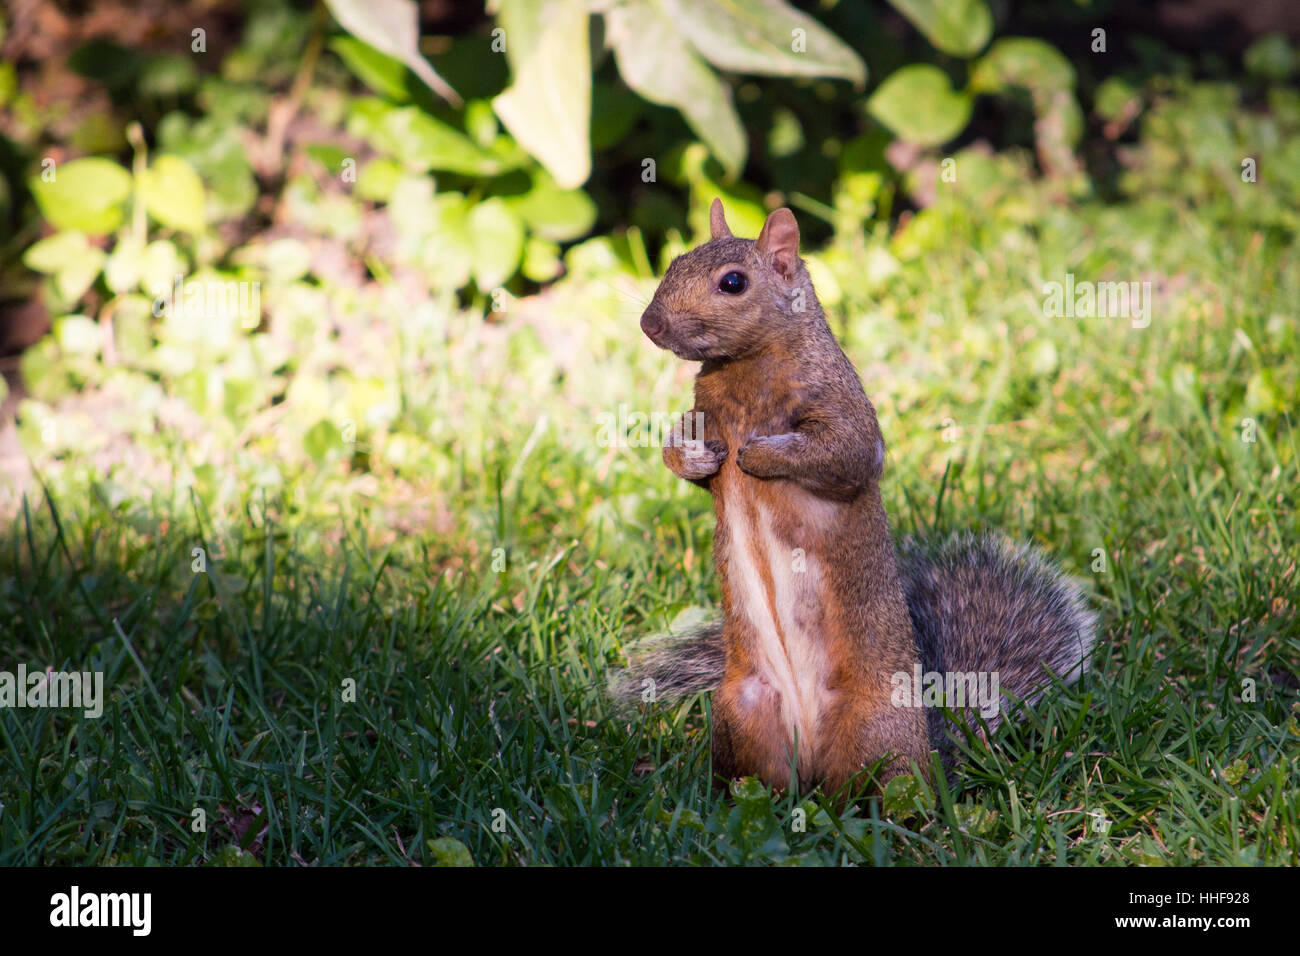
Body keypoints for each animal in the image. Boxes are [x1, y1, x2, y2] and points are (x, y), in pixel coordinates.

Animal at [609, 199, 1097, 797]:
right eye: (676, 260)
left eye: (733, 282)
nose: (649, 324)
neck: (744, 370)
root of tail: (933, 756)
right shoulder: (704, 414)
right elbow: (683, 453)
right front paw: (694, 459)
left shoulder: (843, 409)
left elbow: (846, 455)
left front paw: (761, 453)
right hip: (742, 712)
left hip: (875, 731)